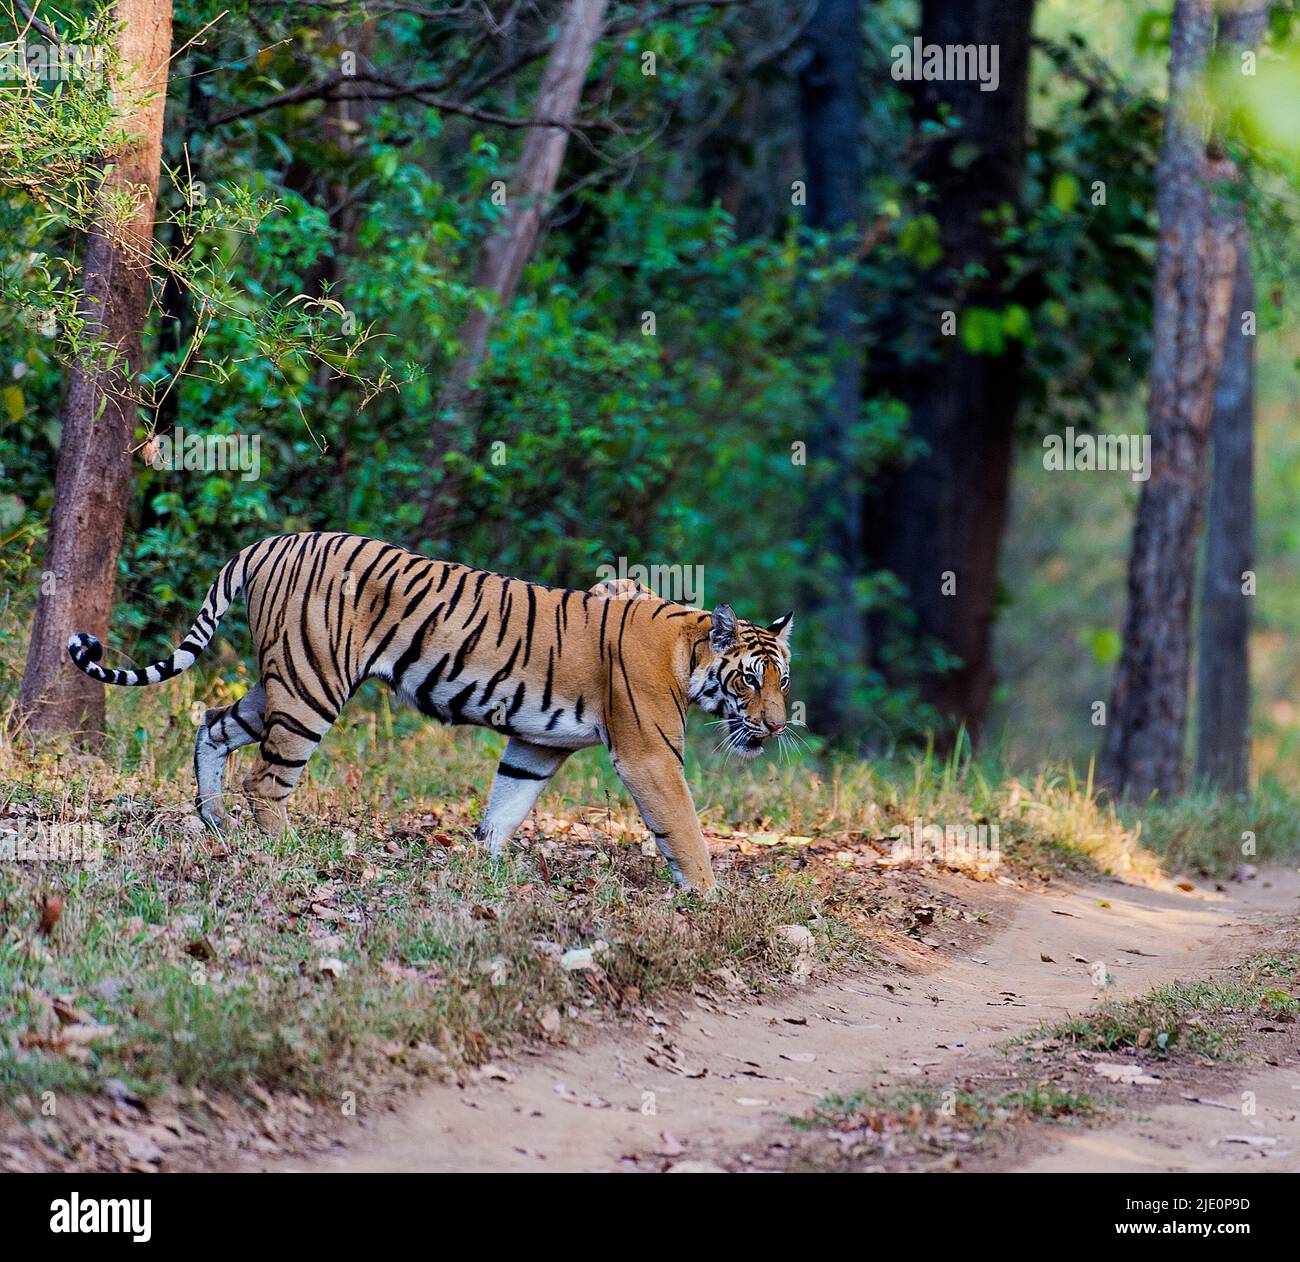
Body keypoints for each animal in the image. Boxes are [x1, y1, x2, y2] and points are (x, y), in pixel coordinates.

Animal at [67, 531, 794, 892]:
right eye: (751, 680)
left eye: (784, 680)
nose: (779, 725)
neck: (689, 651)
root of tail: (270, 542)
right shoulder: (650, 755)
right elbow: (686, 828)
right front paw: (710, 898)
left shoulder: (538, 744)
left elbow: (507, 805)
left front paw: (484, 869)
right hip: (310, 686)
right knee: (267, 780)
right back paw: (284, 853)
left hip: (279, 683)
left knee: (214, 725)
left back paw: (213, 820)